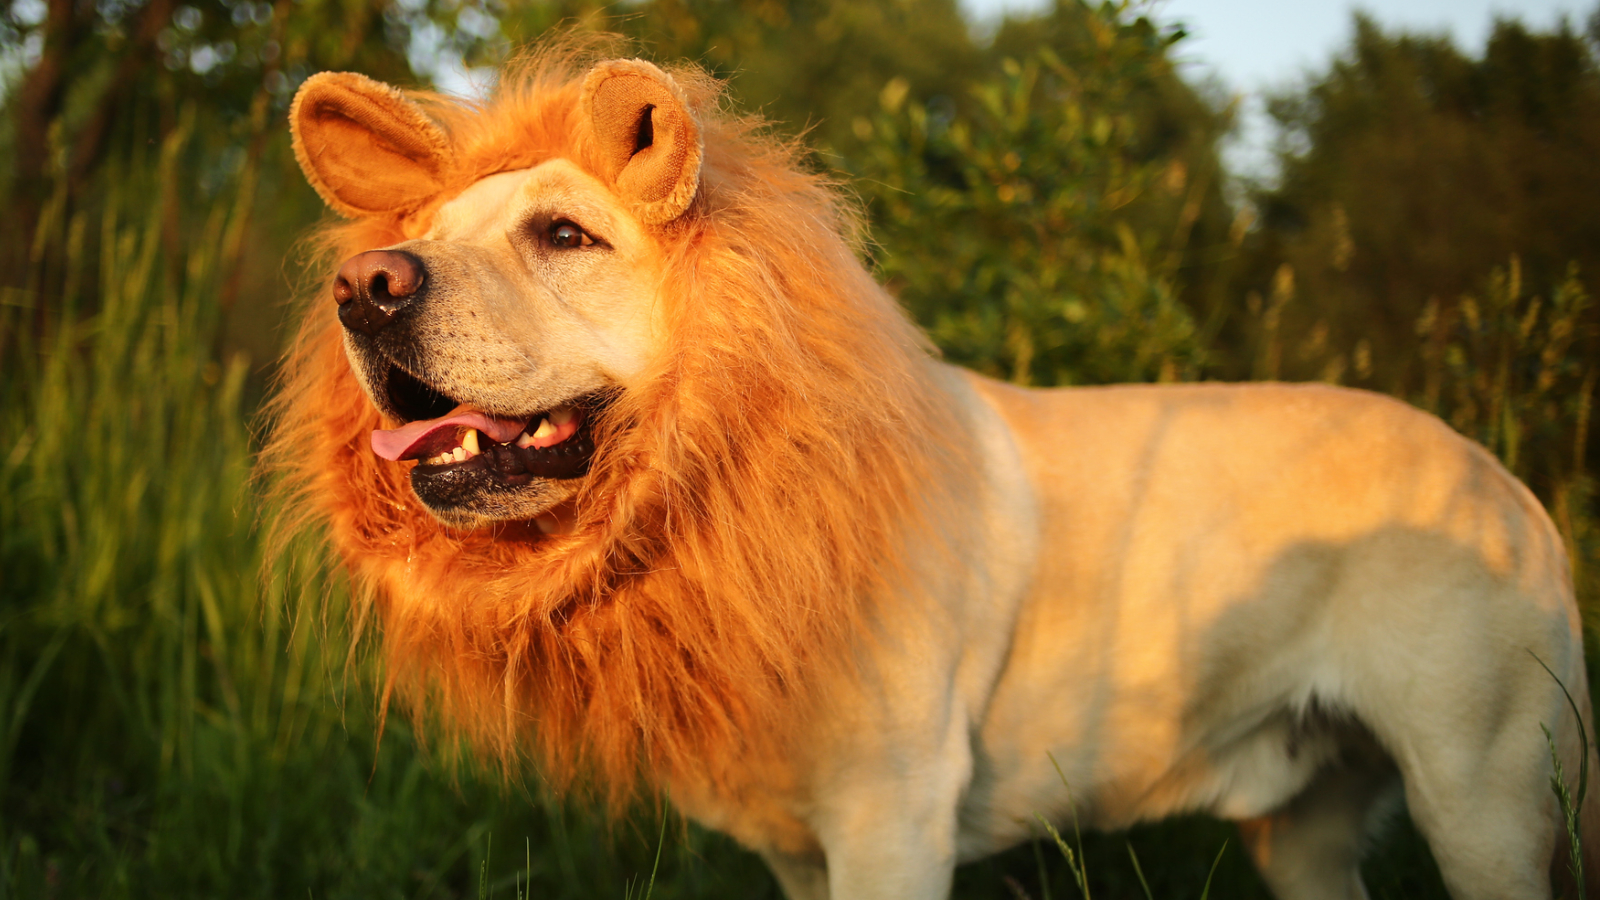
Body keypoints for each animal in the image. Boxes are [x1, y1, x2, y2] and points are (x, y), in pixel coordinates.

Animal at [271, 44, 1599, 900]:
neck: (743, 483)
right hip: (1307, 838)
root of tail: (1502, 481)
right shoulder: (797, 850)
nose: (364, 287)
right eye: (418, 239)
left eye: (564, 235)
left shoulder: (890, 820)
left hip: (1484, 805)